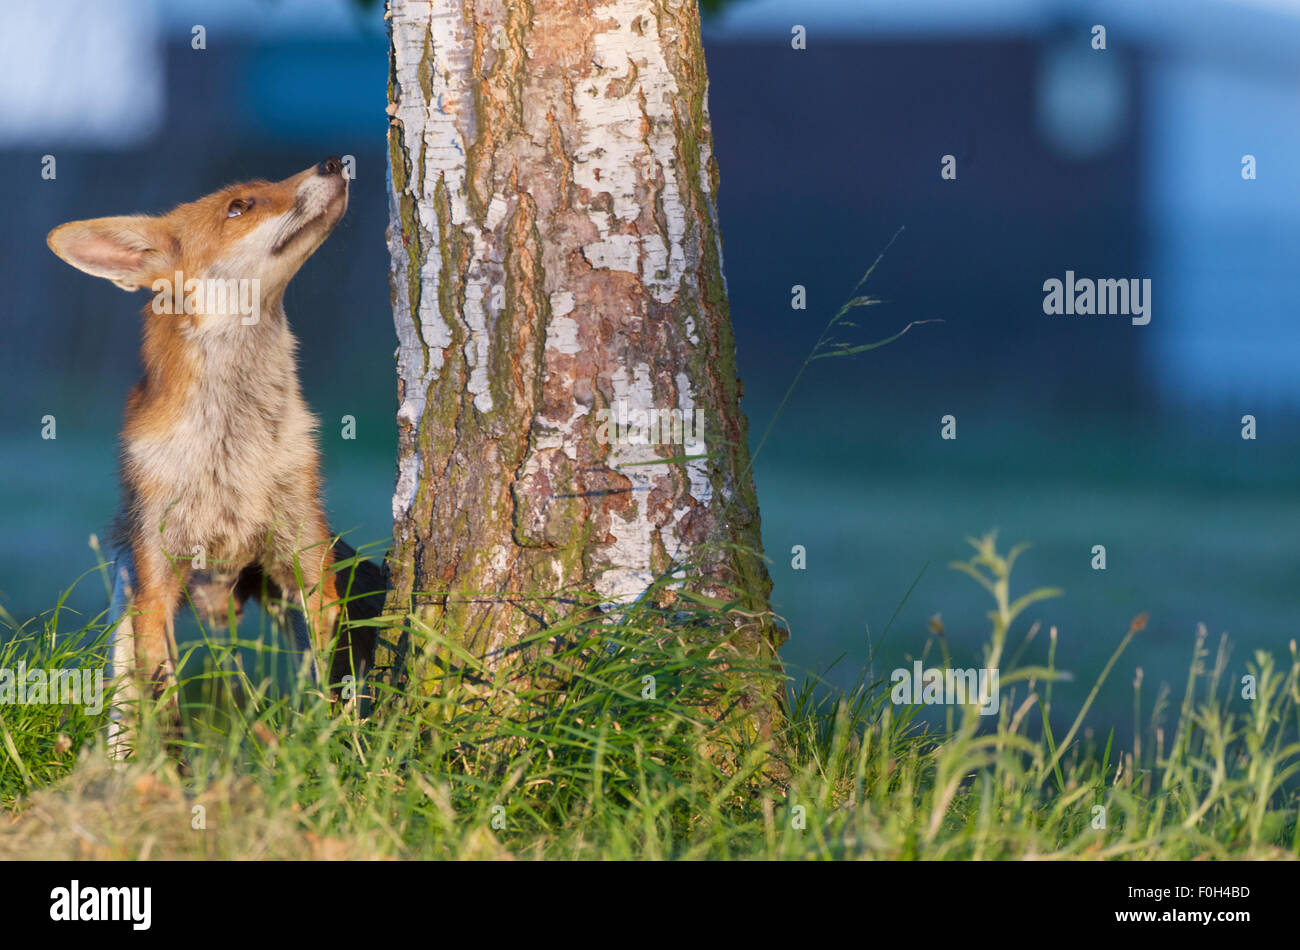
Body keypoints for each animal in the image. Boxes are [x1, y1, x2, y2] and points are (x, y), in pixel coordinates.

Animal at [46, 158, 381, 758]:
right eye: (238, 207)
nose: (333, 162)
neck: (233, 446)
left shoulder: (307, 562)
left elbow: (331, 684)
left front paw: (341, 758)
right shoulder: (157, 582)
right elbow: (166, 709)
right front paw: (169, 774)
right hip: (127, 602)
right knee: (127, 710)